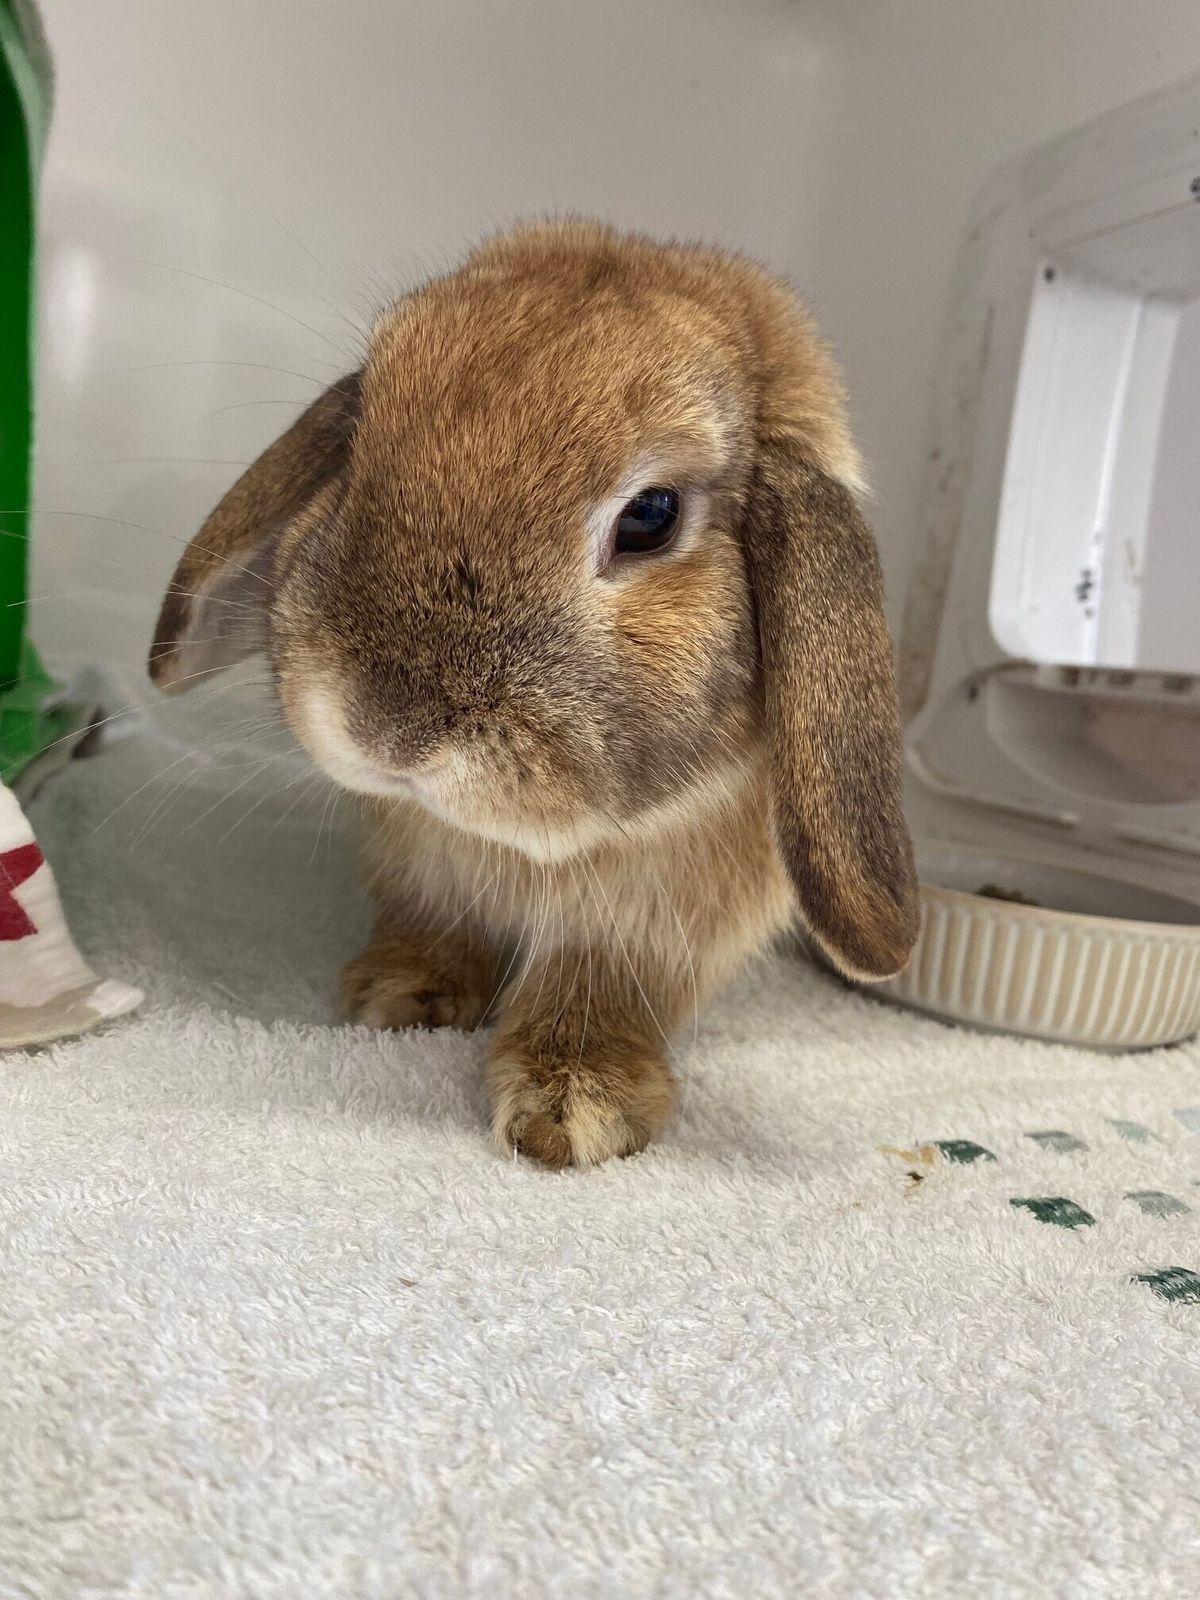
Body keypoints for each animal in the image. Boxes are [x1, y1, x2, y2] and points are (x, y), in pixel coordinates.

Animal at [149, 219, 918, 1168]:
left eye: (652, 515)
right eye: (359, 435)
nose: (389, 732)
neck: (519, 848)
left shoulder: (651, 927)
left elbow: (601, 991)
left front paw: (575, 1111)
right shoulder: (424, 869)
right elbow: (438, 926)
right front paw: (399, 996)